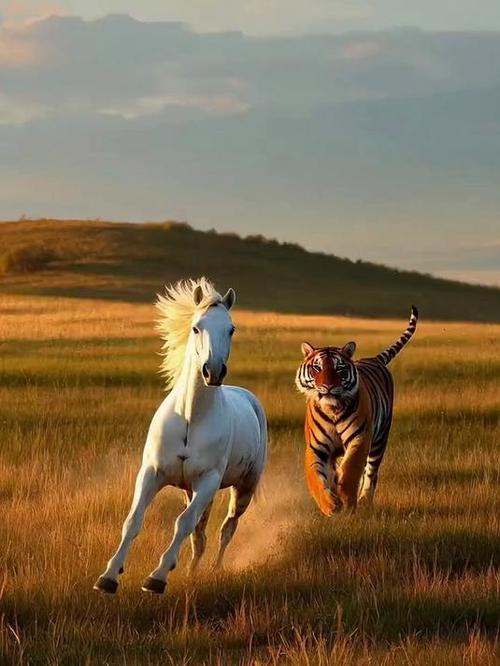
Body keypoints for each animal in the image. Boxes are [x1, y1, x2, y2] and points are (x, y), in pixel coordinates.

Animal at [94, 277, 267, 594]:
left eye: (231, 328)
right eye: (196, 327)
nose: (213, 372)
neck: (190, 417)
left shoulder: (208, 481)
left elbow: (182, 523)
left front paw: (157, 578)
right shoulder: (152, 473)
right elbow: (133, 520)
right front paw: (109, 576)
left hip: (242, 488)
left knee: (226, 529)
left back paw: (214, 570)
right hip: (192, 491)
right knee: (200, 536)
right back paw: (191, 572)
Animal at [295, 306, 418, 515]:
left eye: (339, 369)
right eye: (317, 368)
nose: (328, 386)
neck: (332, 409)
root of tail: (374, 359)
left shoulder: (360, 439)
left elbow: (351, 470)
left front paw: (346, 500)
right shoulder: (316, 447)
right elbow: (316, 478)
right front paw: (330, 505)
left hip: (379, 439)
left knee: (371, 473)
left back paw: (364, 502)